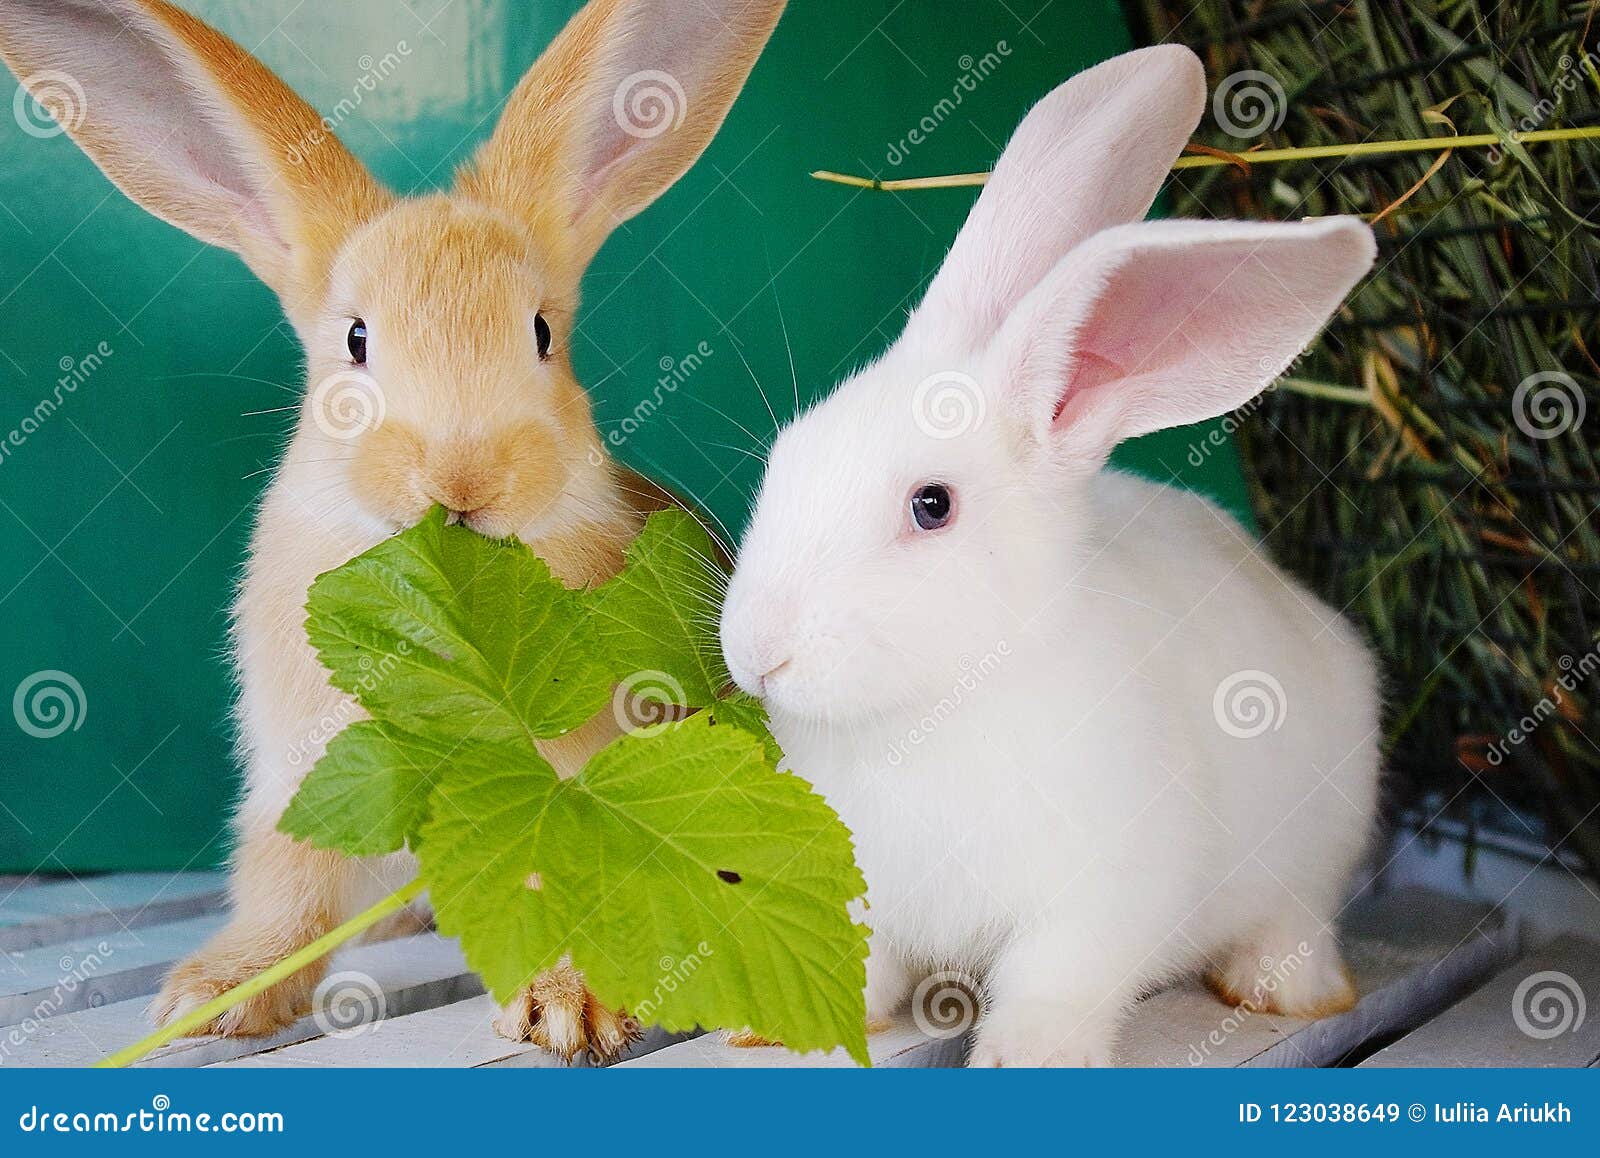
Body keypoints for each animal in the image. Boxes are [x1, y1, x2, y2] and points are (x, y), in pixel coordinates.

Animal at [0, 0, 784, 1059]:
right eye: (356, 340)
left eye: (542, 334)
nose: (462, 478)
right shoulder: (298, 770)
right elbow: (286, 888)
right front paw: (214, 996)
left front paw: (568, 1008)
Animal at [718, 44, 1383, 1067]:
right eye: (786, 456)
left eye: (932, 506)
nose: (757, 652)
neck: (934, 711)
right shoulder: (860, 889)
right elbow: (861, 966)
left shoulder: (1098, 899)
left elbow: (1054, 981)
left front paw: (1023, 1056)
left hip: (1316, 844)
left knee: (1294, 920)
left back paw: (1281, 990)